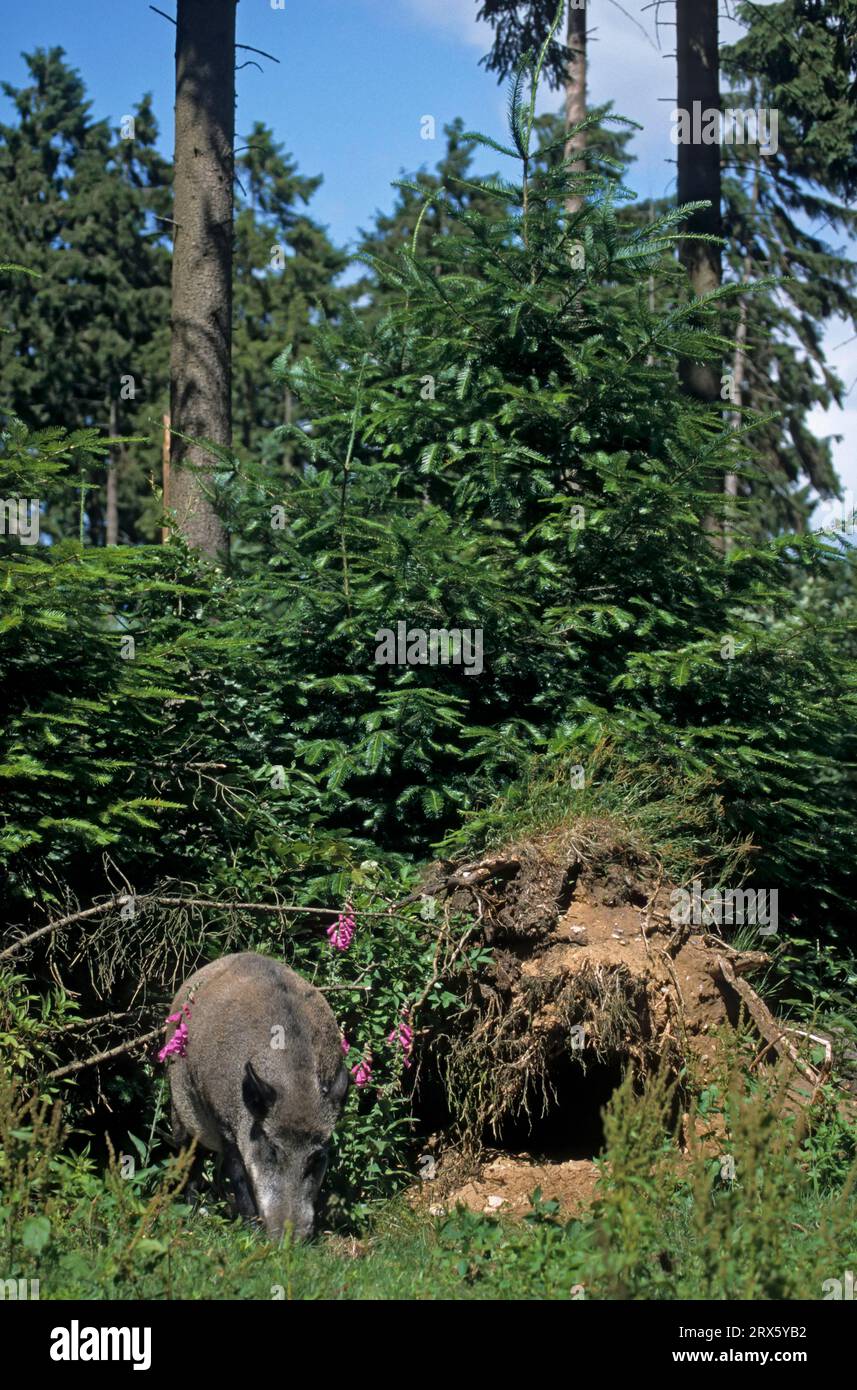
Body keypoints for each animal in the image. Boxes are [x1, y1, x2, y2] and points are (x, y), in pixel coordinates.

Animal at [165, 951, 349, 1242]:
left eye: (316, 1158)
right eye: (272, 1149)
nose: (289, 1239)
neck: (295, 1086)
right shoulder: (225, 1122)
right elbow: (238, 1174)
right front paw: (251, 1228)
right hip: (179, 1106)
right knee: (189, 1156)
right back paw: (191, 1214)